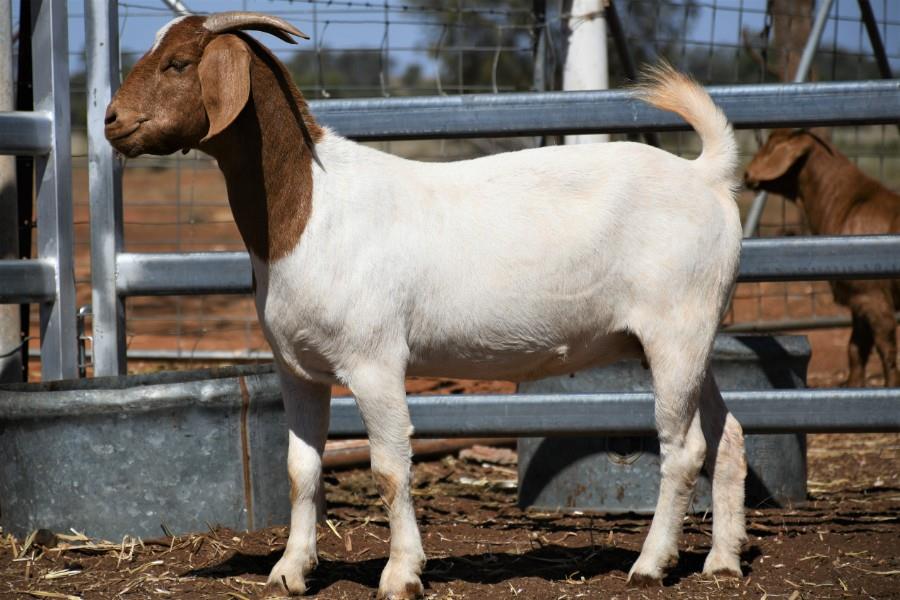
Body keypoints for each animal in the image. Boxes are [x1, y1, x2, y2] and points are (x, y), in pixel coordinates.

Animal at [105, 13, 747, 598]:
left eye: (178, 64)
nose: (111, 120)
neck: (310, 208)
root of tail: (706, 175)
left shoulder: (375, 359)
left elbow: (390, 467)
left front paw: (401, 574)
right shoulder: (296, 367)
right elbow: (300, 469)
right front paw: (291, 570)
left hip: (675, 328)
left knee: (684, 447)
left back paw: (651, 564)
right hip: (691, 336)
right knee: (728, 434)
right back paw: (722, 562)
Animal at [745, 129, 900, 388]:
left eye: (772, 144)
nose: (747, 174)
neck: (846, 204)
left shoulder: (874, 297)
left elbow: (886, 351)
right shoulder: (859, 301)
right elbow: (855, 348)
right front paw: (852, 386)